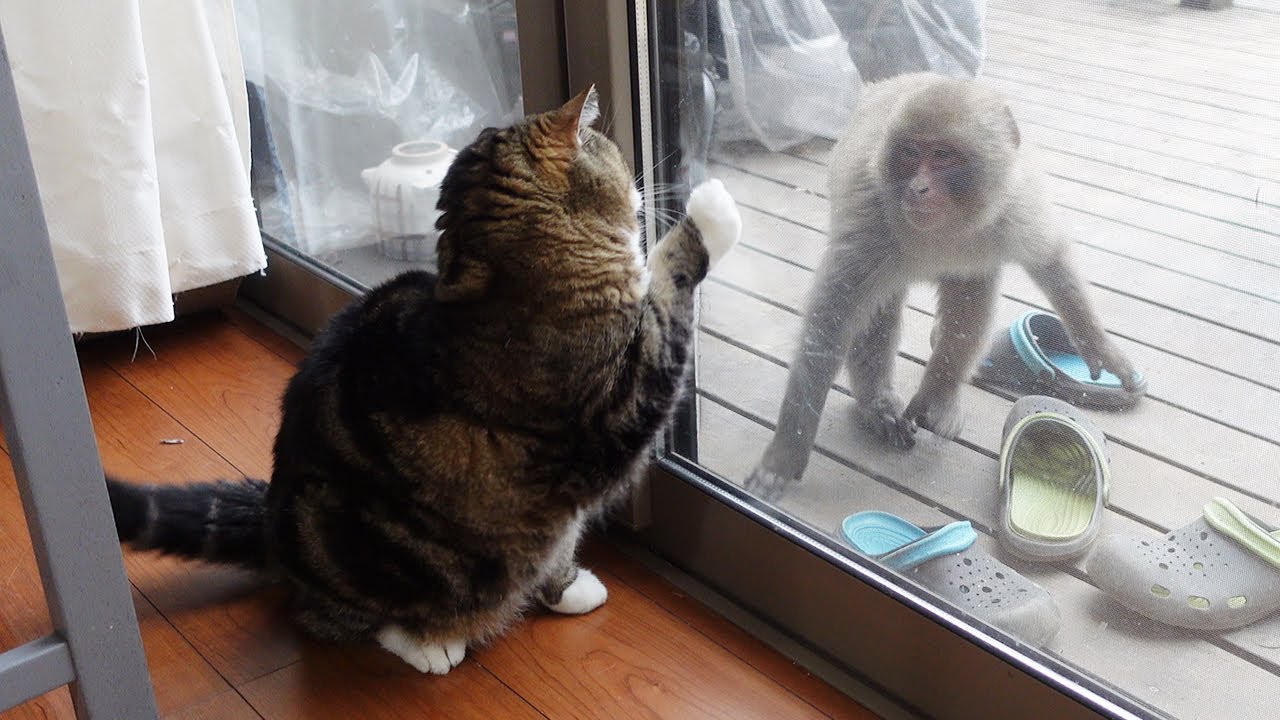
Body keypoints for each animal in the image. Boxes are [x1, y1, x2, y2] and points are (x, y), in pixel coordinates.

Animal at [745, 72, 1139, 501]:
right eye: (910, 152)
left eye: (943, 155)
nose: (918, 188)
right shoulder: (868, 220)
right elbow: (830, 327)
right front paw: (786, 452)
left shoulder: (1012, 205)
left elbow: (1050, 259)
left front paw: (1096, 346)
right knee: (882, 308)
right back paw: (878, 405)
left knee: (972, 289)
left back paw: (939, 397)